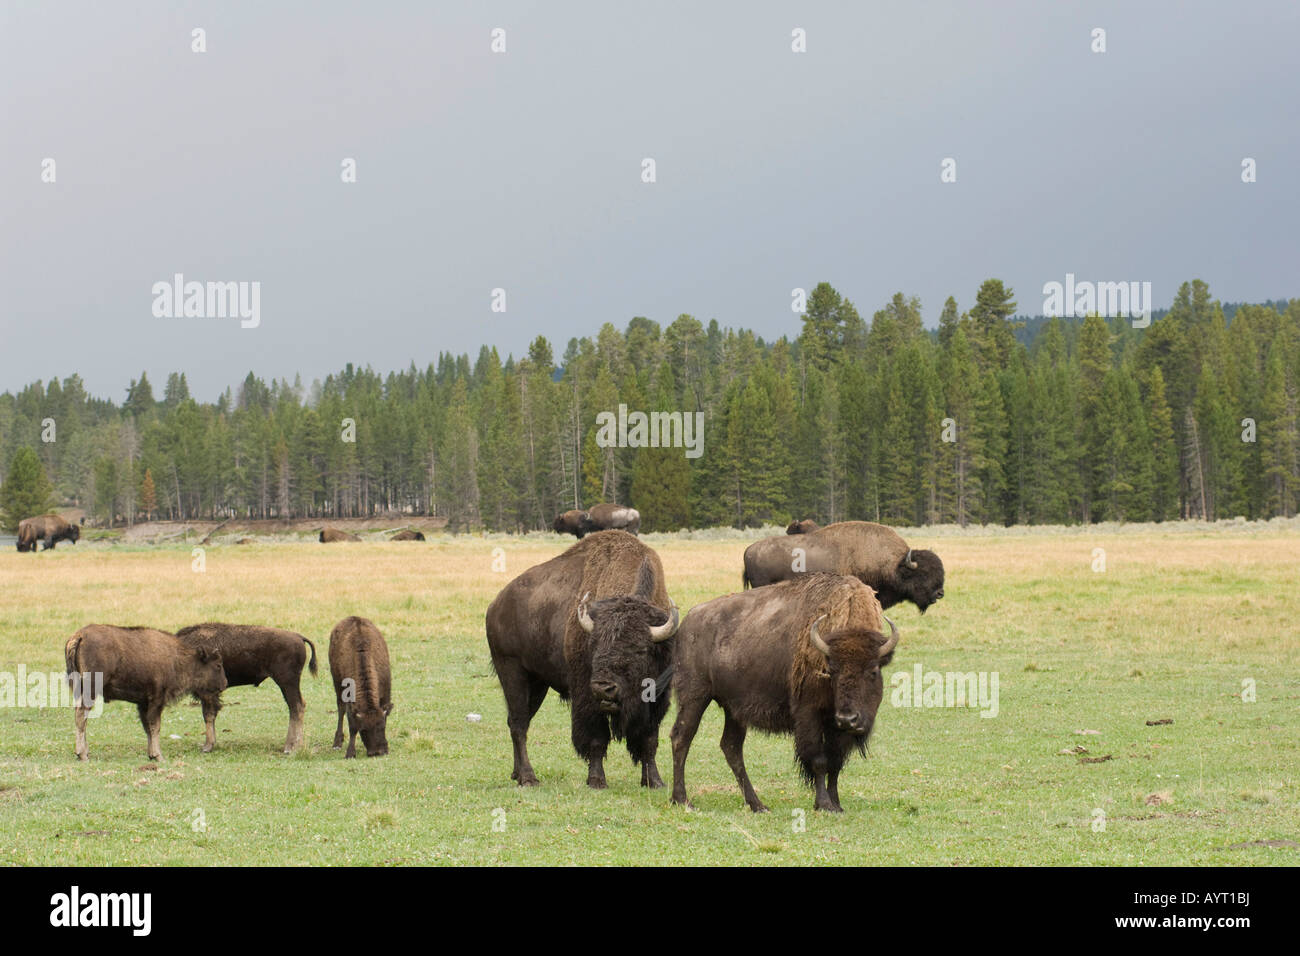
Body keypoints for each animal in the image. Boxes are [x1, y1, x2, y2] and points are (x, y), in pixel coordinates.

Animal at [64, 625, 227, 761]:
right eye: (218, 665)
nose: (224, 684)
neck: (176, 658)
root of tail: (79, 636)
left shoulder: (143, 703)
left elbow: (148, 728)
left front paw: (151, 755)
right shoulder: (156, 700)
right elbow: (155, 726)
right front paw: (159, 756)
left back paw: (84, 752)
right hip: (90, 691)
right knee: (81, 716)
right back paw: (82, 754)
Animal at [174, 623, 319, 753]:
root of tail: (298, 637)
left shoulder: (207, 693)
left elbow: (208, 715)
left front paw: (207, 746)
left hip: (287, 682)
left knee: (296, 707)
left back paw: (290, 748)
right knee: (297, 706)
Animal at [329, 616, 392, 758]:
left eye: (382, 727)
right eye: (363, 730)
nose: (377, 752)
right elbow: (352, 725)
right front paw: (350, 752)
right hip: (337, 683)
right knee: (340, 709)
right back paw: (337, 742)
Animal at [485, 530, 679, 789]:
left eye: (640, 649)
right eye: (594, 646)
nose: (604, 688)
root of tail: (495, 605)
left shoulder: (656, 699)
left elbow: (649, 740)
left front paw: (655, 781)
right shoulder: (586, 696)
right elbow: (596, 738)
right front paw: (596, 780)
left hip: (537, 683)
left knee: (517, 721)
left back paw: (517, 774)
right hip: (512, 672)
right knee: (519, 724)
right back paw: (528, 777)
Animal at [669, 573, 900, 813]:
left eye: (873, 671)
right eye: (832, 671)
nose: (848, 718)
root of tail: (686, 623)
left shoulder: (836, 727)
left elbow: (835, 763)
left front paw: (836, 805)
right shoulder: (809, 715)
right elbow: (818, 760)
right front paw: (824, 804)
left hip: (733, 710)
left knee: (731, 747)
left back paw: (757, 805)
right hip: (694, 697)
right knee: (682, 738)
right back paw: (682, 800)